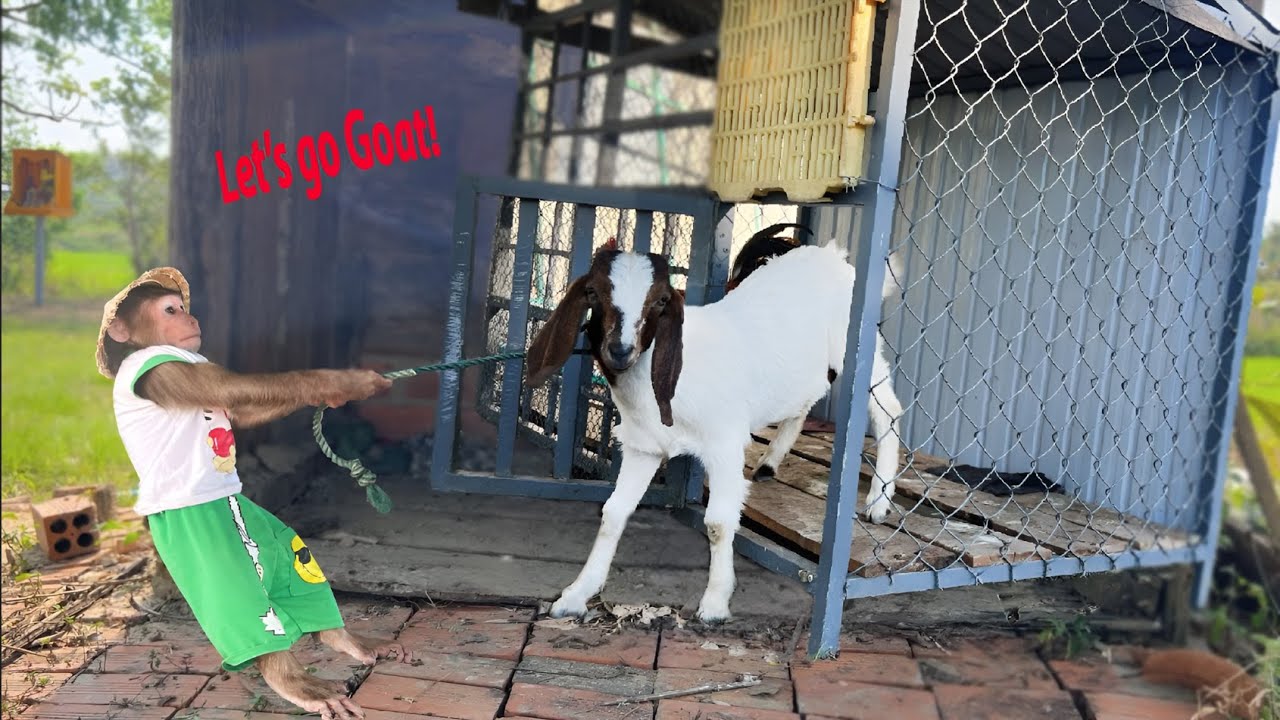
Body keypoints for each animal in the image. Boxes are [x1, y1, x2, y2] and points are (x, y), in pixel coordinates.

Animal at [524, 241, 903, 622]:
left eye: (661, 300)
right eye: (592, 291)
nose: (620, 350)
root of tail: (834, 255)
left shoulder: (724, 443)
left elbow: (718, 523)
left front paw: (716, 603)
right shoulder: (644, 448)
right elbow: (613, 513)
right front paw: (575, 594)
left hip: (859, 354)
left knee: (888, 409)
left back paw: (878, 501)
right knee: (806, 400)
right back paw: (770, 462)